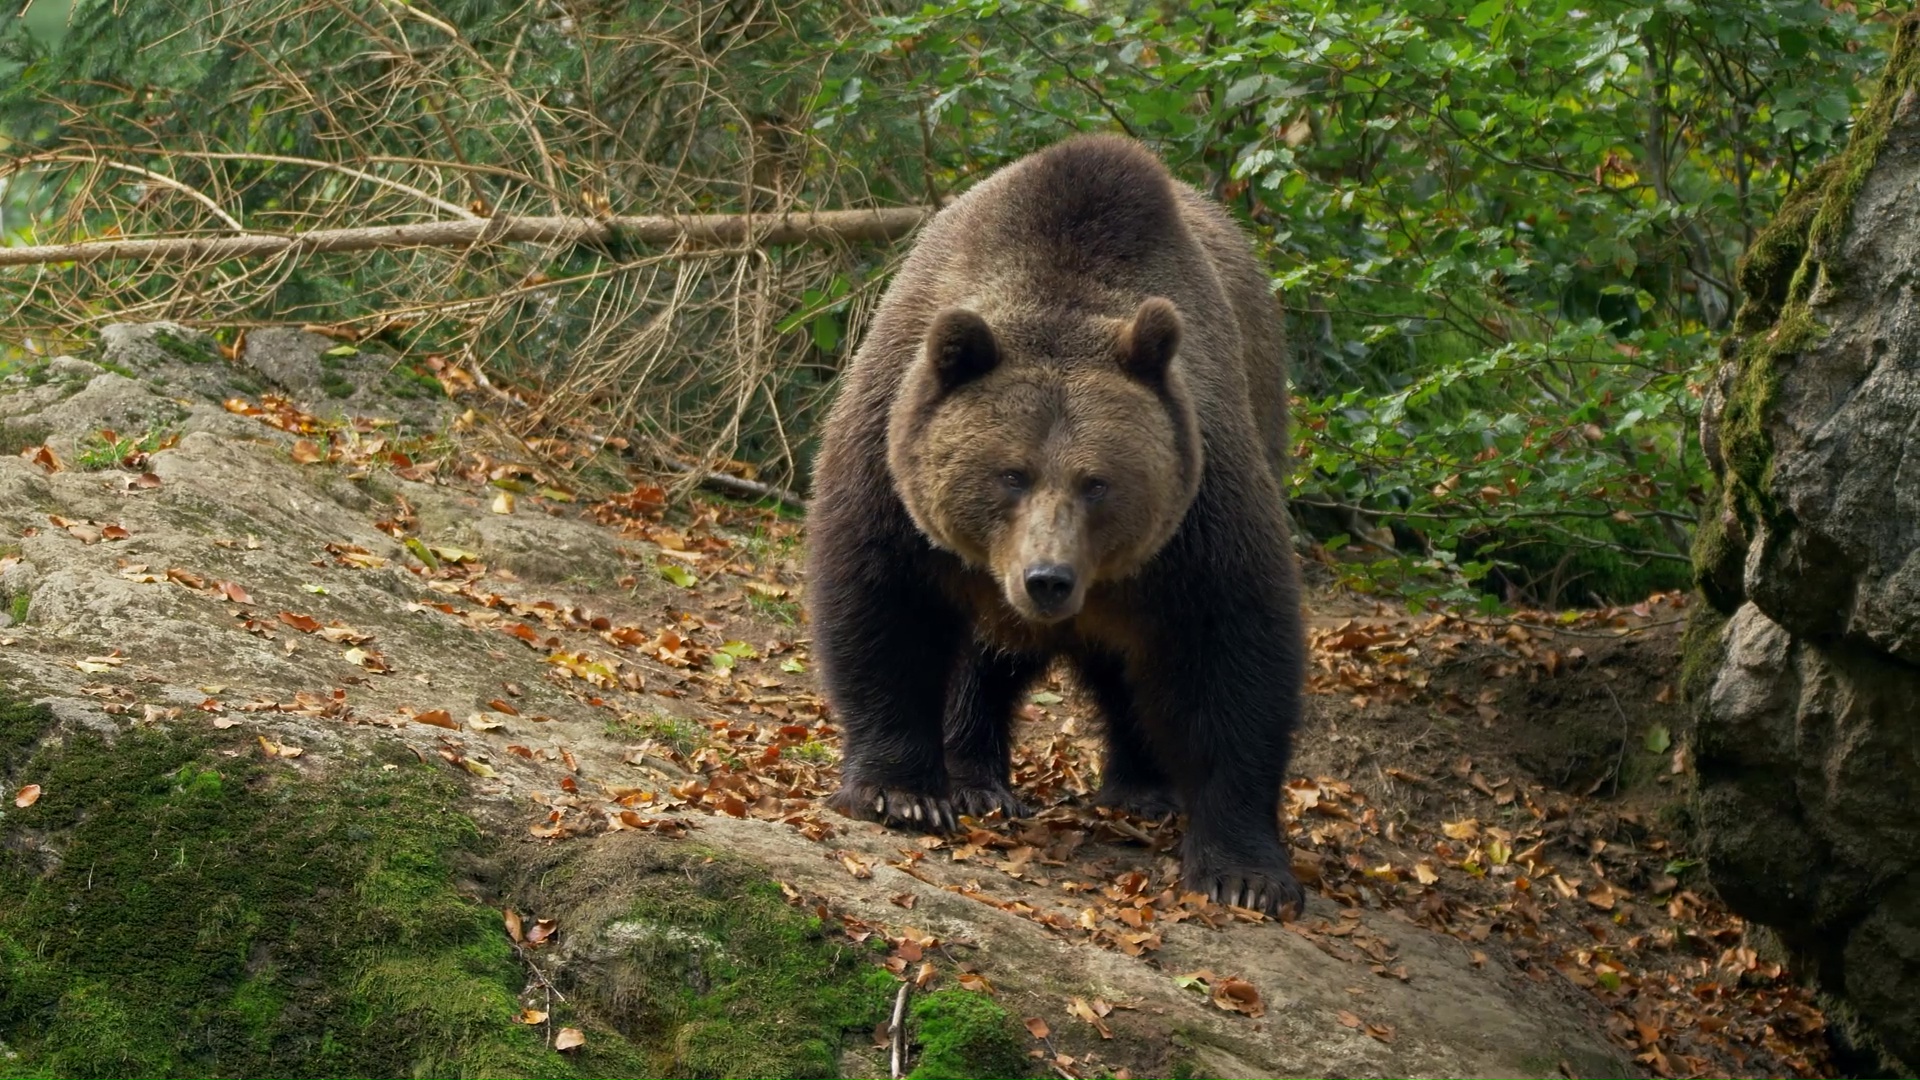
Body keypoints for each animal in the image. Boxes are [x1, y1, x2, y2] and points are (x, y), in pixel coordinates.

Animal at [806, 134, 1307, 916]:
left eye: (1097, 482)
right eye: (1010, 473)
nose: (1048, 580)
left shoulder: (1201, 504)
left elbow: (1233, 653)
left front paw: (1246, 873)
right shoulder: (890, 458)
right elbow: (883, 605)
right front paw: (903, 794)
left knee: (1133, 668)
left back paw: (1143, 787)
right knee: (986, 657)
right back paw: (977, 780)